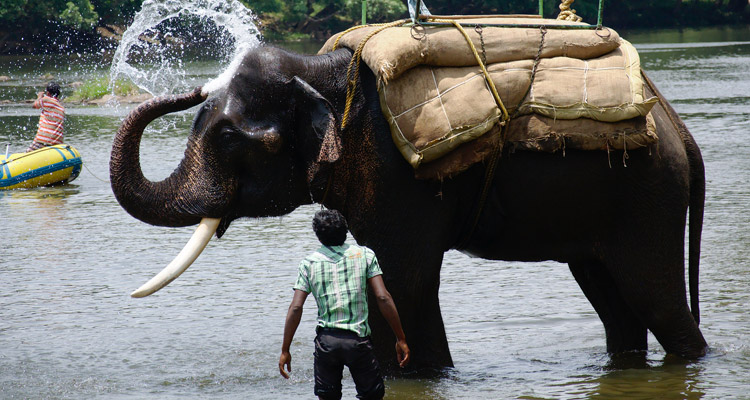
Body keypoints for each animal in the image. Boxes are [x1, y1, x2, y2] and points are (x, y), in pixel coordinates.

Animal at [110, 44, 708, 373]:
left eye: (230, 137)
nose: (191, 85)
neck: (321, 68)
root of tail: (676, 125)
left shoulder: (396, 177)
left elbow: (403, 280)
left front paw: (416, 376)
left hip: (646, 195)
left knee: (656, 300)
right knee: (613, 302)